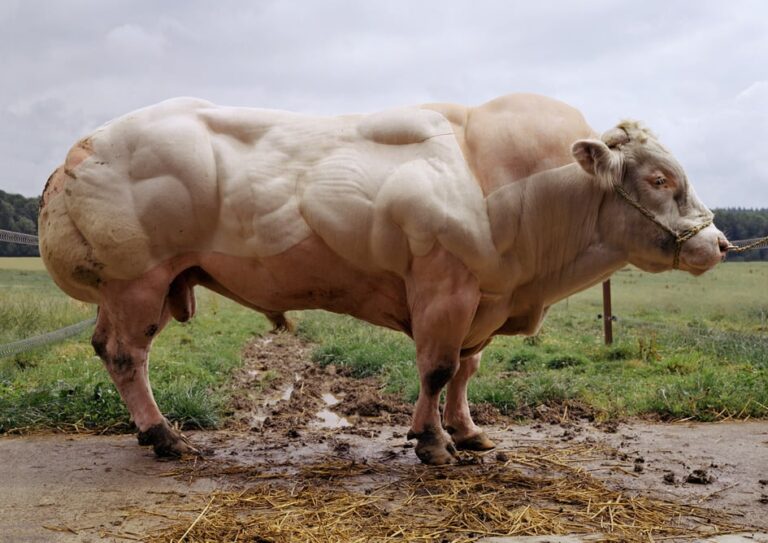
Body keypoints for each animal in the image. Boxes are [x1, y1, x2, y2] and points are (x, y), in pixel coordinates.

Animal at [38, 93, 729, 465]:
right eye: (660, 179)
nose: (719, 243)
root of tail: (84, 145)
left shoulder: (482, 299)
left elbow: (466, 371)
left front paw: (467, 432)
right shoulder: (444, 288)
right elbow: (437, 368)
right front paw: (431, 442)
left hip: (141, 287)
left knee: (107, 348)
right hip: (136, 280)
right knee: (127, 357)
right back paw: (164, 436)